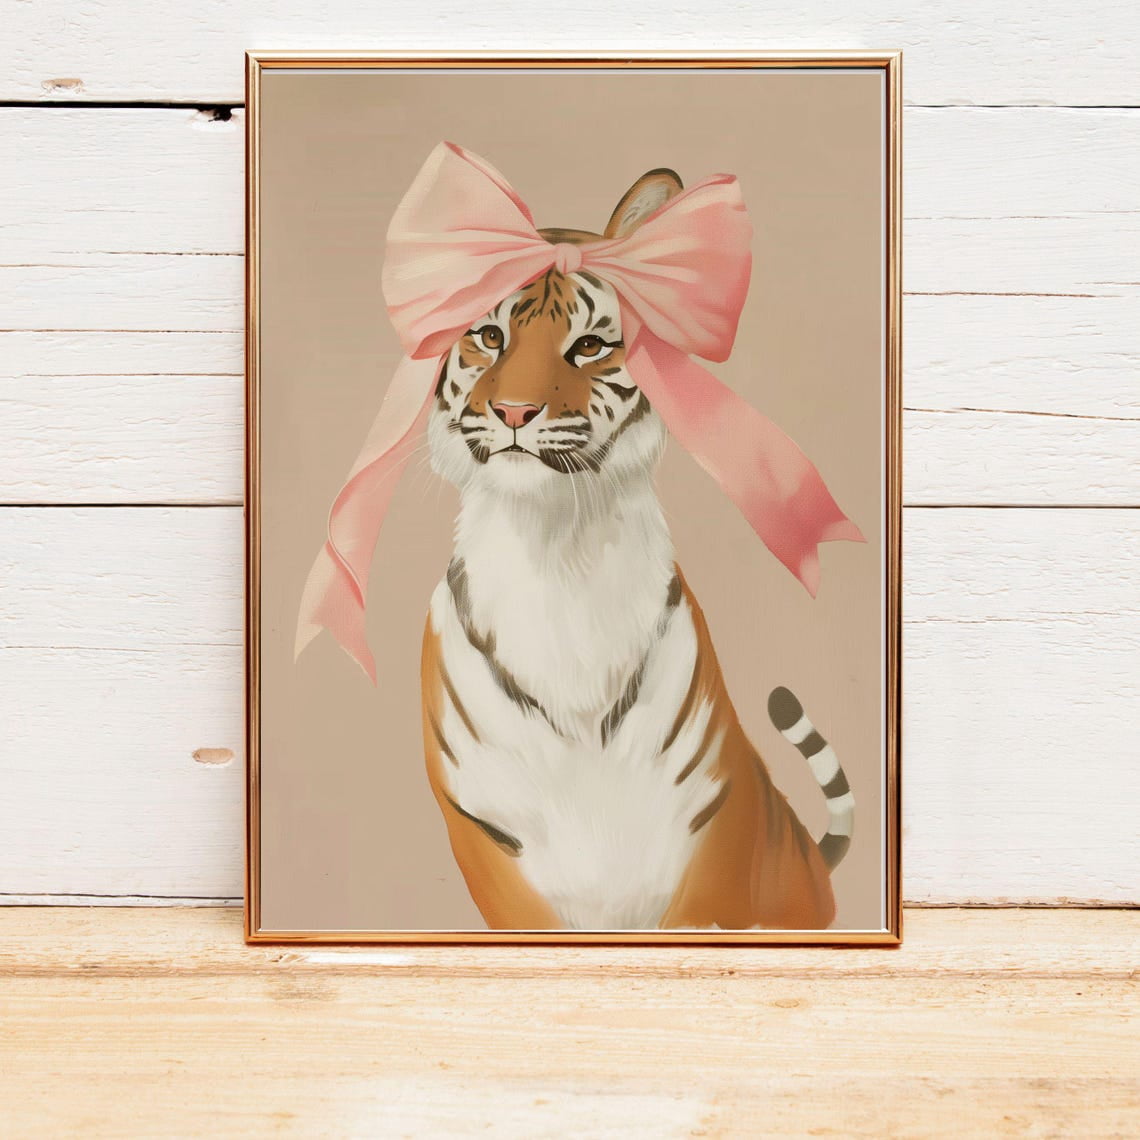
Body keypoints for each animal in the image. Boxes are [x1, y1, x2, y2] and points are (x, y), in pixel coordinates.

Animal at [421, 167, 854, 930]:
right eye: (490, 336)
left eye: (589, 346)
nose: (512, 412)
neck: (555, 548)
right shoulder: (484, 833)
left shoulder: (713, 824)